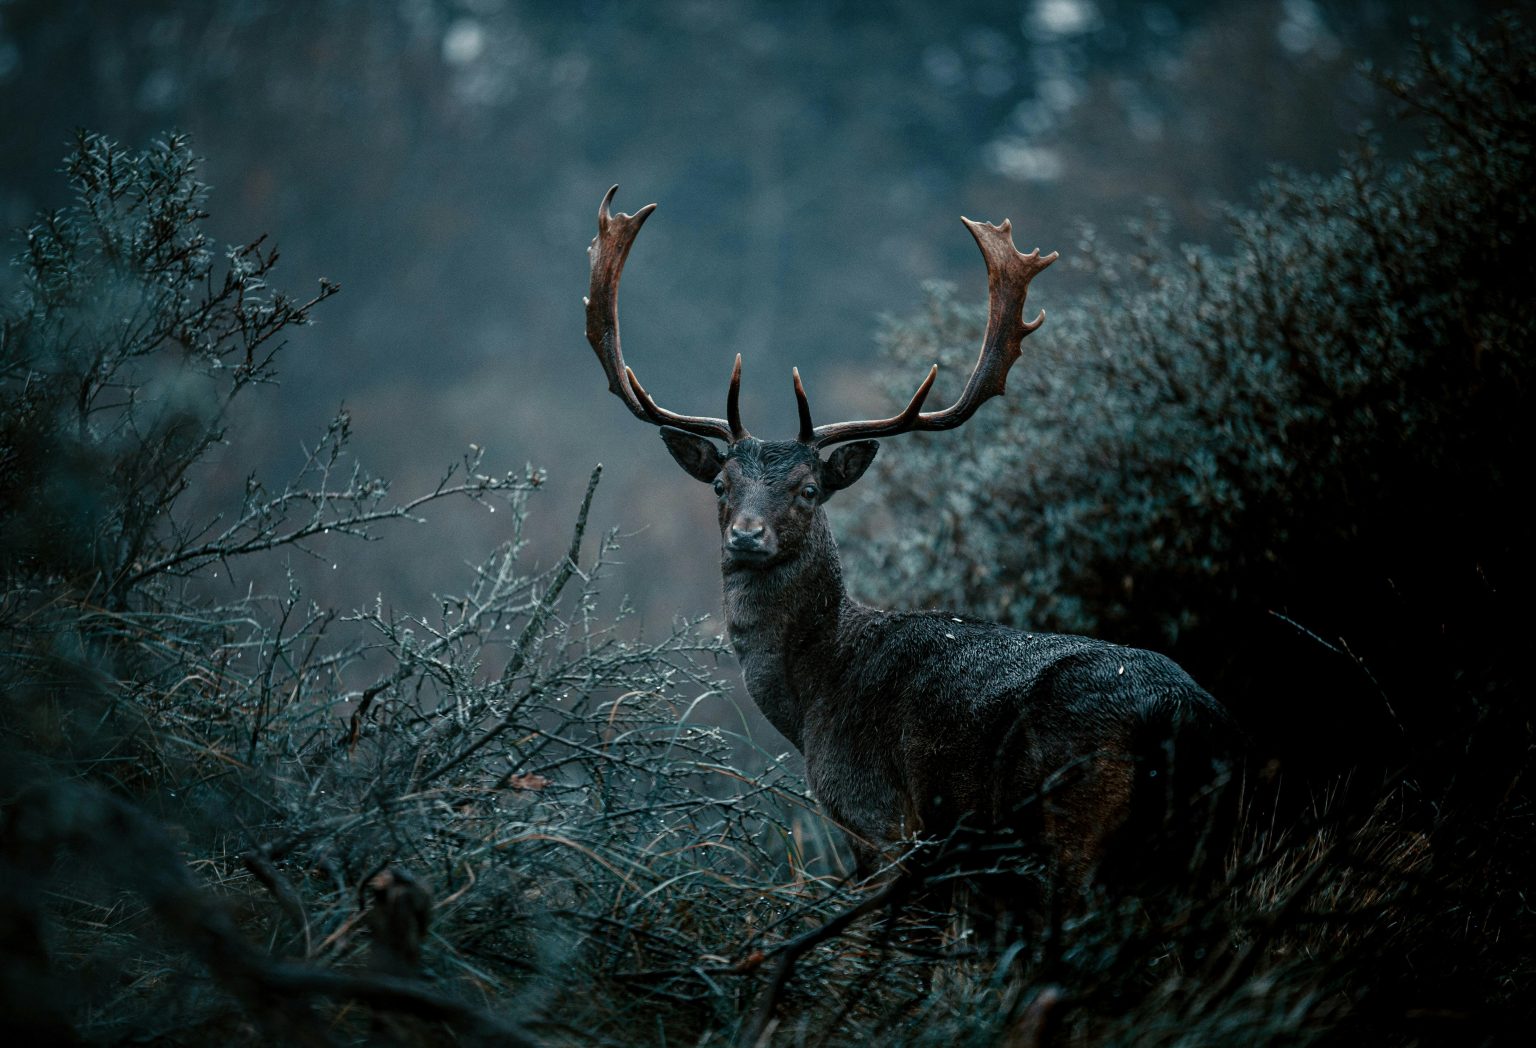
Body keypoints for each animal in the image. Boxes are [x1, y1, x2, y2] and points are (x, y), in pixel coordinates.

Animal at [582, 186, 1234, 903]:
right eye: (721, 484)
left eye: (810, 489)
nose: (747, 534)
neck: (813, 699)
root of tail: (1183, 718)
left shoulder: (881, 818)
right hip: (1203, 846)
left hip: (1072, 824)